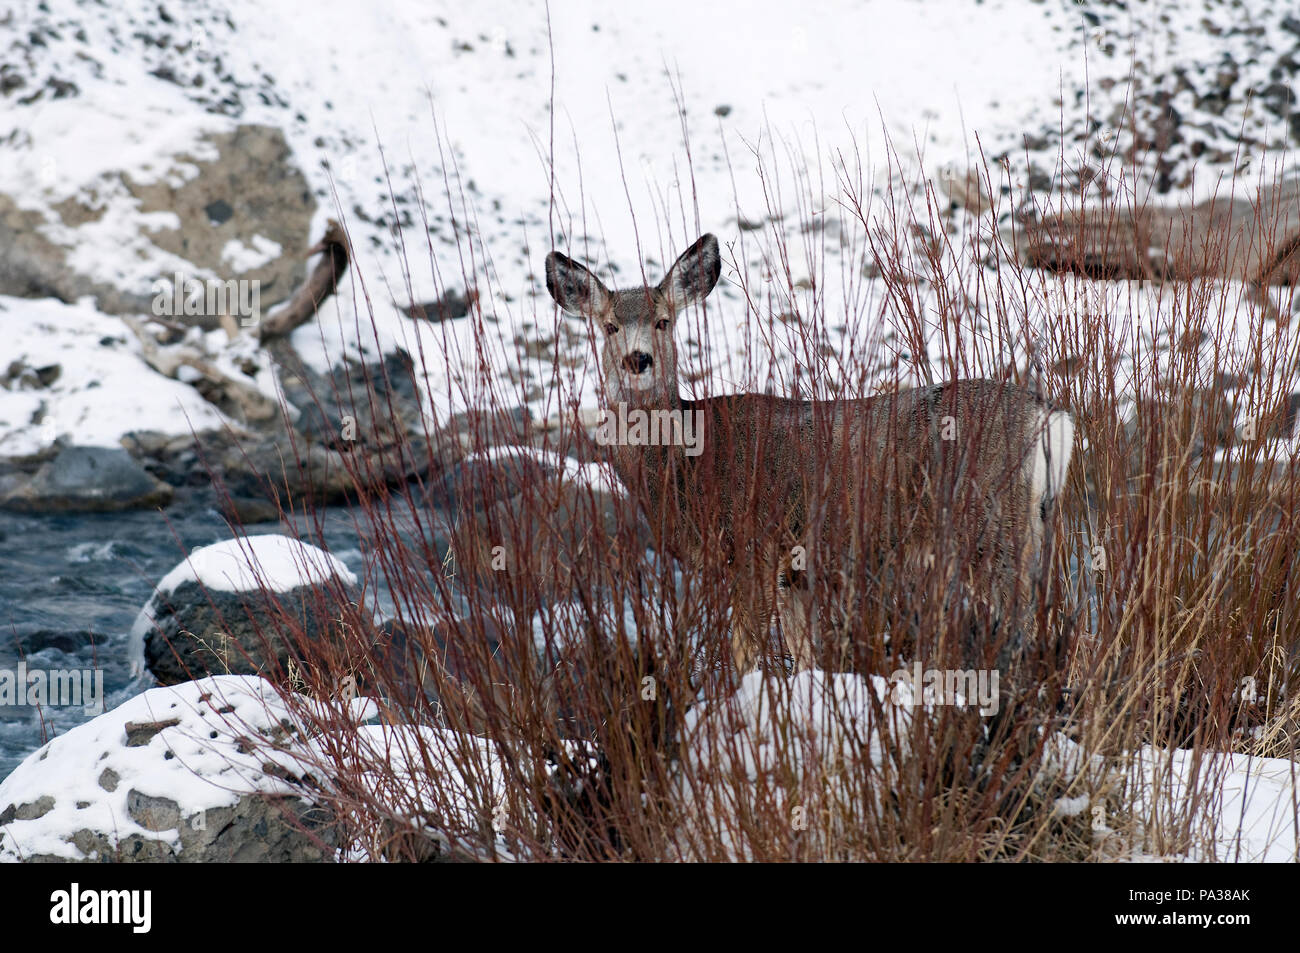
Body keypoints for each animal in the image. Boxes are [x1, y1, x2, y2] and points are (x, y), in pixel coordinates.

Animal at [544, 233, 1075, 676]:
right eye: (609, 326)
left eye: (663, 321)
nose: (638, 360)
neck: (692, 463)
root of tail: (1052, 417)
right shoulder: (792, 573)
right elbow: (805, 654)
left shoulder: (755, 544)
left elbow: (744, 652)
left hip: (993, 524)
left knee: (1022, 623)